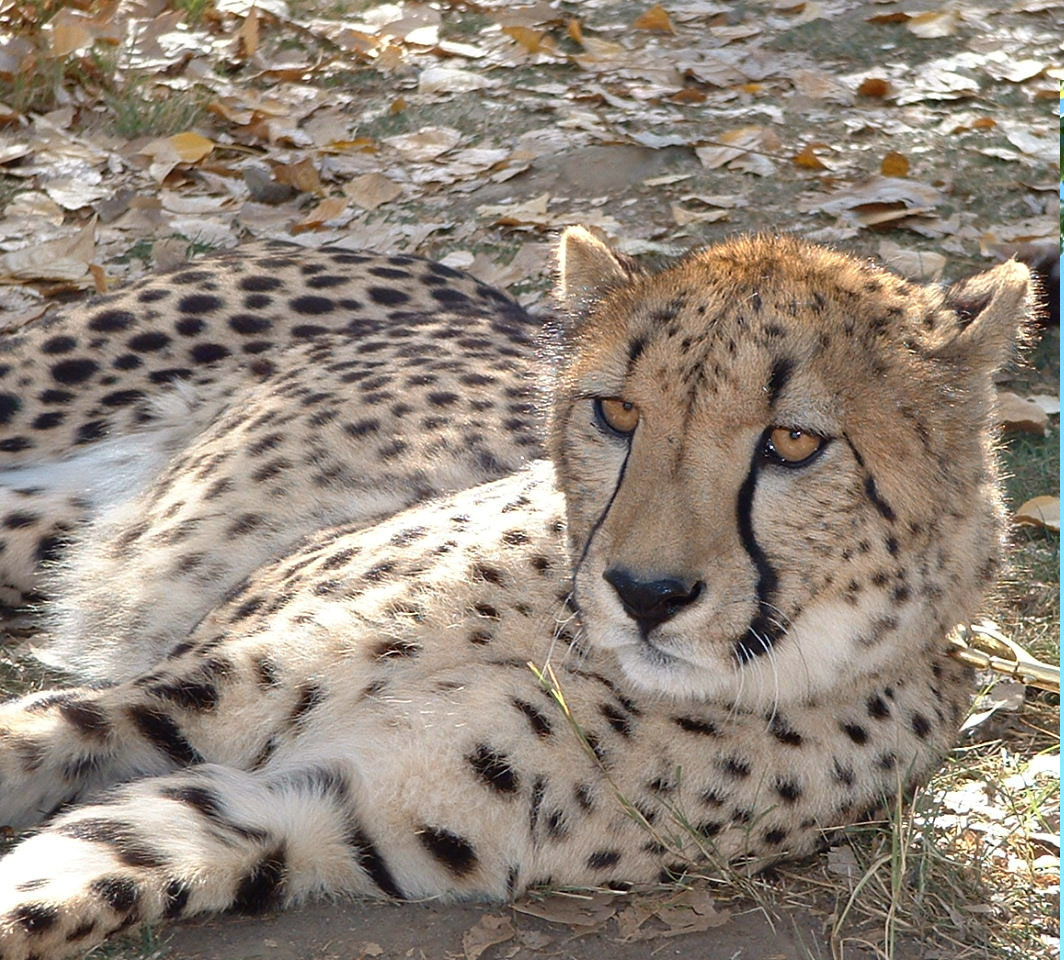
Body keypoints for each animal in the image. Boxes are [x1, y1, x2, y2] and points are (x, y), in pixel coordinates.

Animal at [0, 227, 1033, 960]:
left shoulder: (304, 808)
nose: (646, 592)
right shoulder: (188, 693)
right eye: (616, 412)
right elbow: (38, 735)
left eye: (792, 442)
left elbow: (74, 874)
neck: (568, 646)